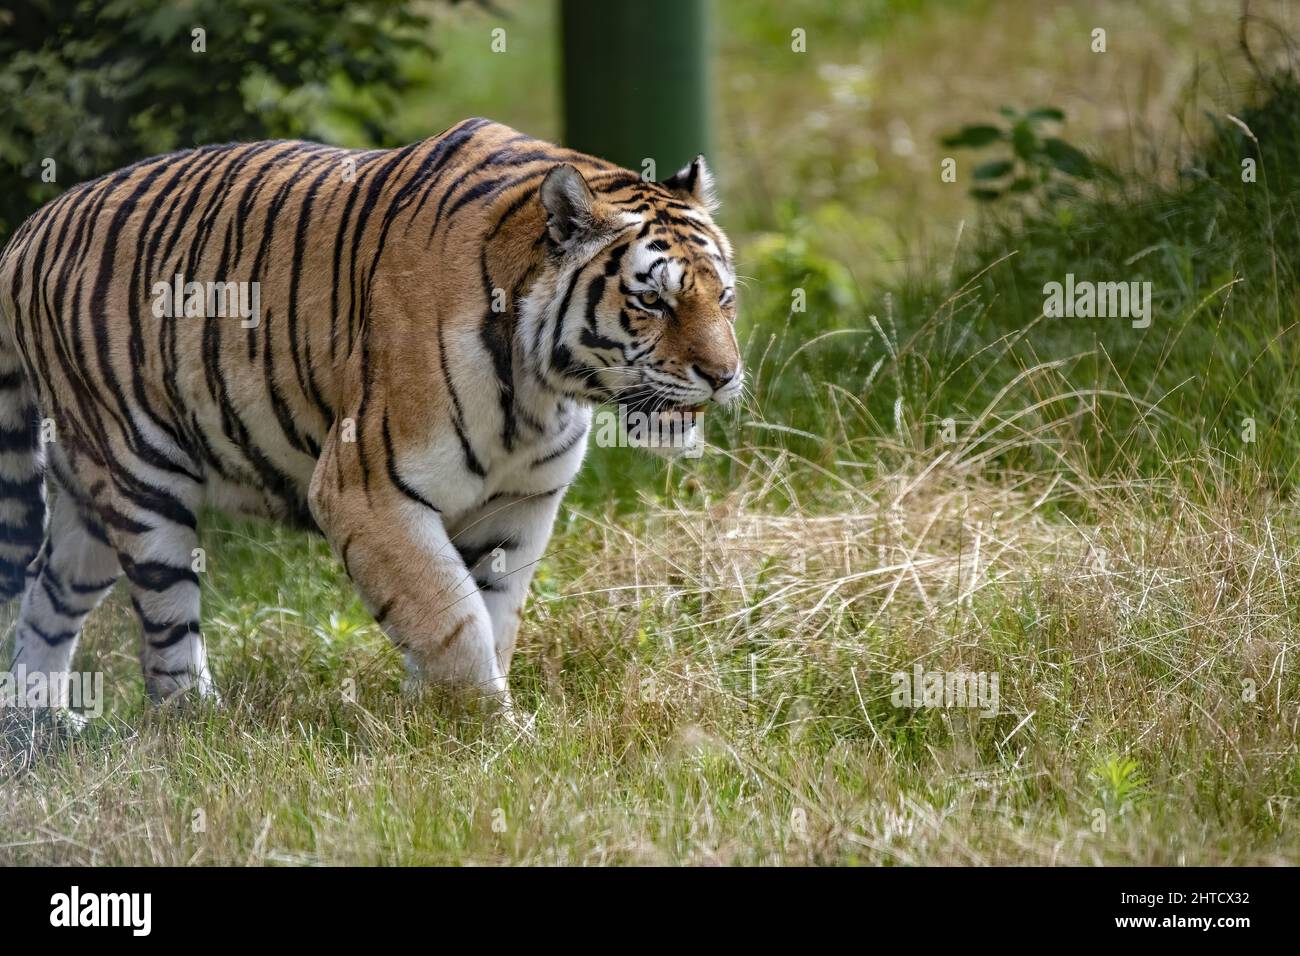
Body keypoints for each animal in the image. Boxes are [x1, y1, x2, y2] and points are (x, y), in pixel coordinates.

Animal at [0, 117, 742, 712]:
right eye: (652, 301)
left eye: (725, 297)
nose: (725, 376)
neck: (540, 392)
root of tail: (29, 227)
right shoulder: (366, 490)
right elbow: (452, 619)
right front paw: (492, 735)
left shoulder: (518, 506)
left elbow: (489, 618)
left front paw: (440, 722)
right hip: (142, 486)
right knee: (164, 640)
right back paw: (195, 722)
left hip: (88, 509)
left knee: (46, 593)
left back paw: (39, 727)